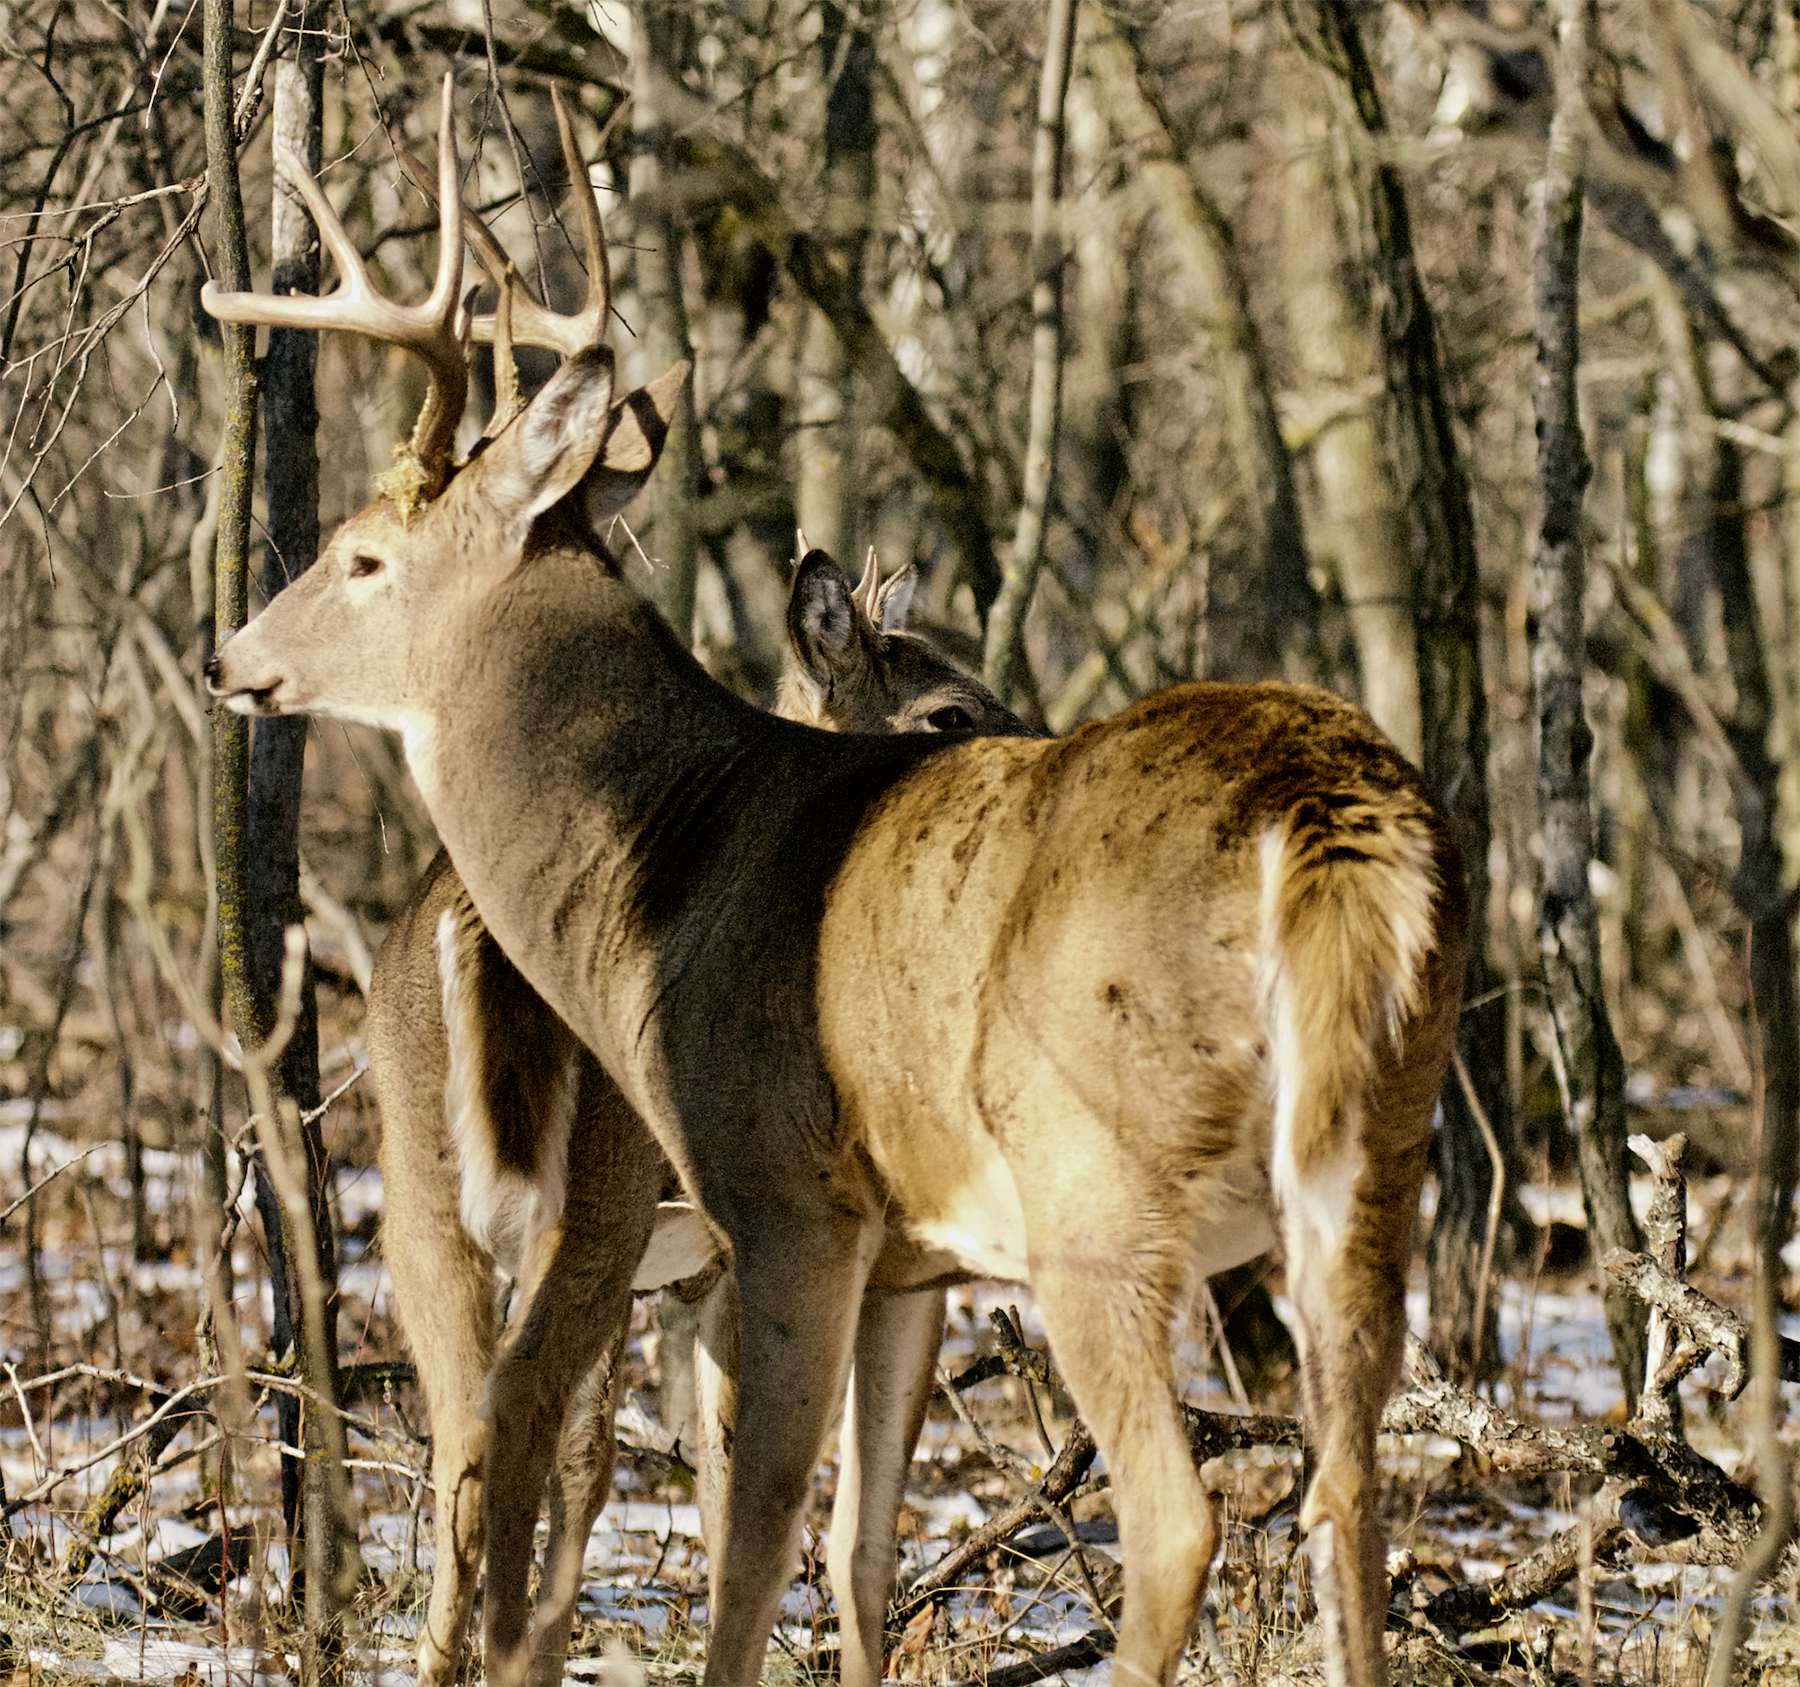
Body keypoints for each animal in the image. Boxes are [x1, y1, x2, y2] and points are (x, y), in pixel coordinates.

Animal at [204, 84, 1469, 1687]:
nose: (230, 656)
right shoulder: (906, 1254)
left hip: (1089, 1173)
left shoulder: (783, 1189)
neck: (657, 865)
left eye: (361, 557)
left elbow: (752, 1535)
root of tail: (1327, 815)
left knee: (1173, 1519)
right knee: (1349, 1492)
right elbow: (862, 1544)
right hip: (1378, 1159)